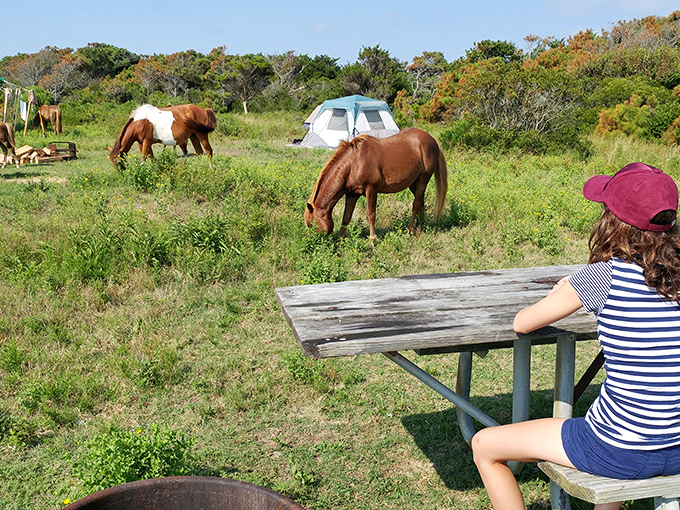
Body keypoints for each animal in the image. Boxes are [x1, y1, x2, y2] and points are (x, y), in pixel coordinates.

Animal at [304, 127, 448, 243]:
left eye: (312, 224)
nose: (315, 242)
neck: (354, 164)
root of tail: (432, 139)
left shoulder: (371, 191)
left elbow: (371, 216)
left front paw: (372, 241)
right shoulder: (352, 194)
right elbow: (346, 217)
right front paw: (338, 240)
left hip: (423, 178)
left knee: (416, 204)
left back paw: (409, 230)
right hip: (414, 183)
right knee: (421, 202)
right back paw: (420, 228)